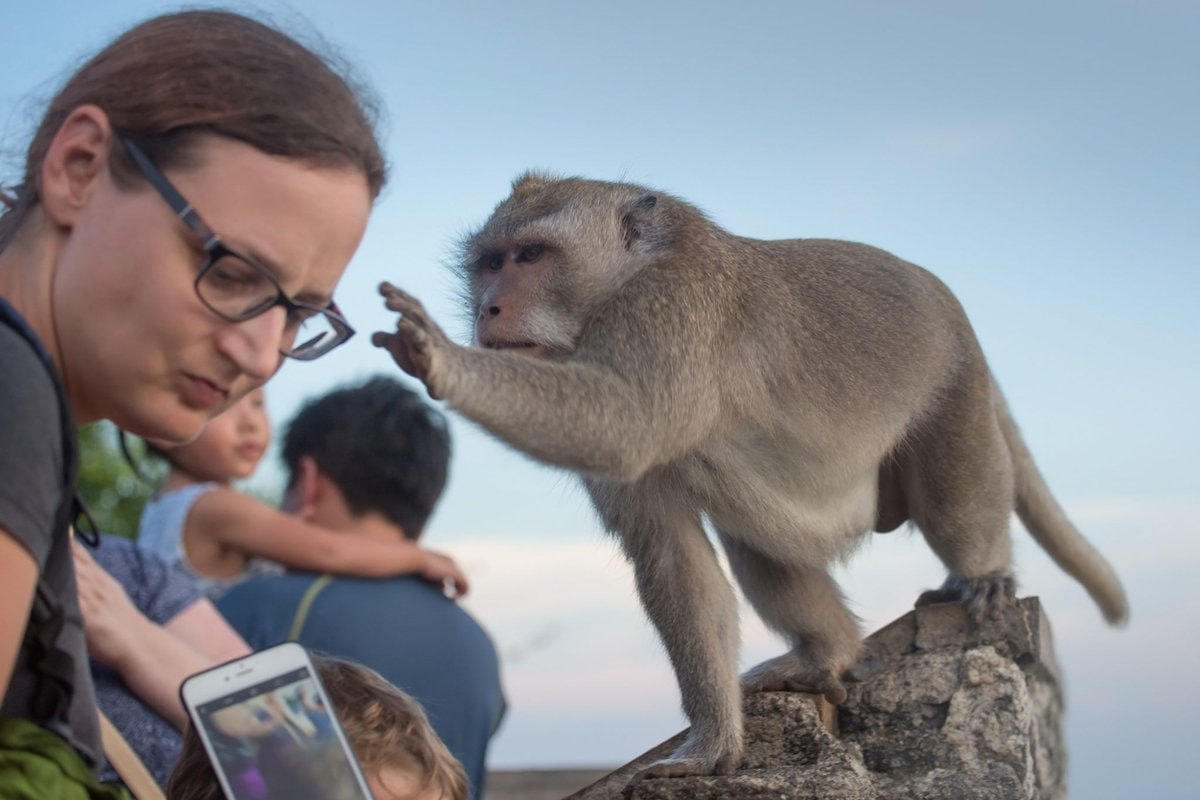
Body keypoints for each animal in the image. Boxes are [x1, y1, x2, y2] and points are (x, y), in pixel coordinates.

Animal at [372, 173, 1123, 782]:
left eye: (531, 256)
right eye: (489, 263)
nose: (487, 308)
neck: (627, 278)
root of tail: (952, 305)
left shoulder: (669, 313)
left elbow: (623, 422)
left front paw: (441, 356)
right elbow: (673, 556)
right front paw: (711, 741)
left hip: (955, 388)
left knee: (953, 502)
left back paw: (982, 574)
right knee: (756, 536)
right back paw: (824, 653)